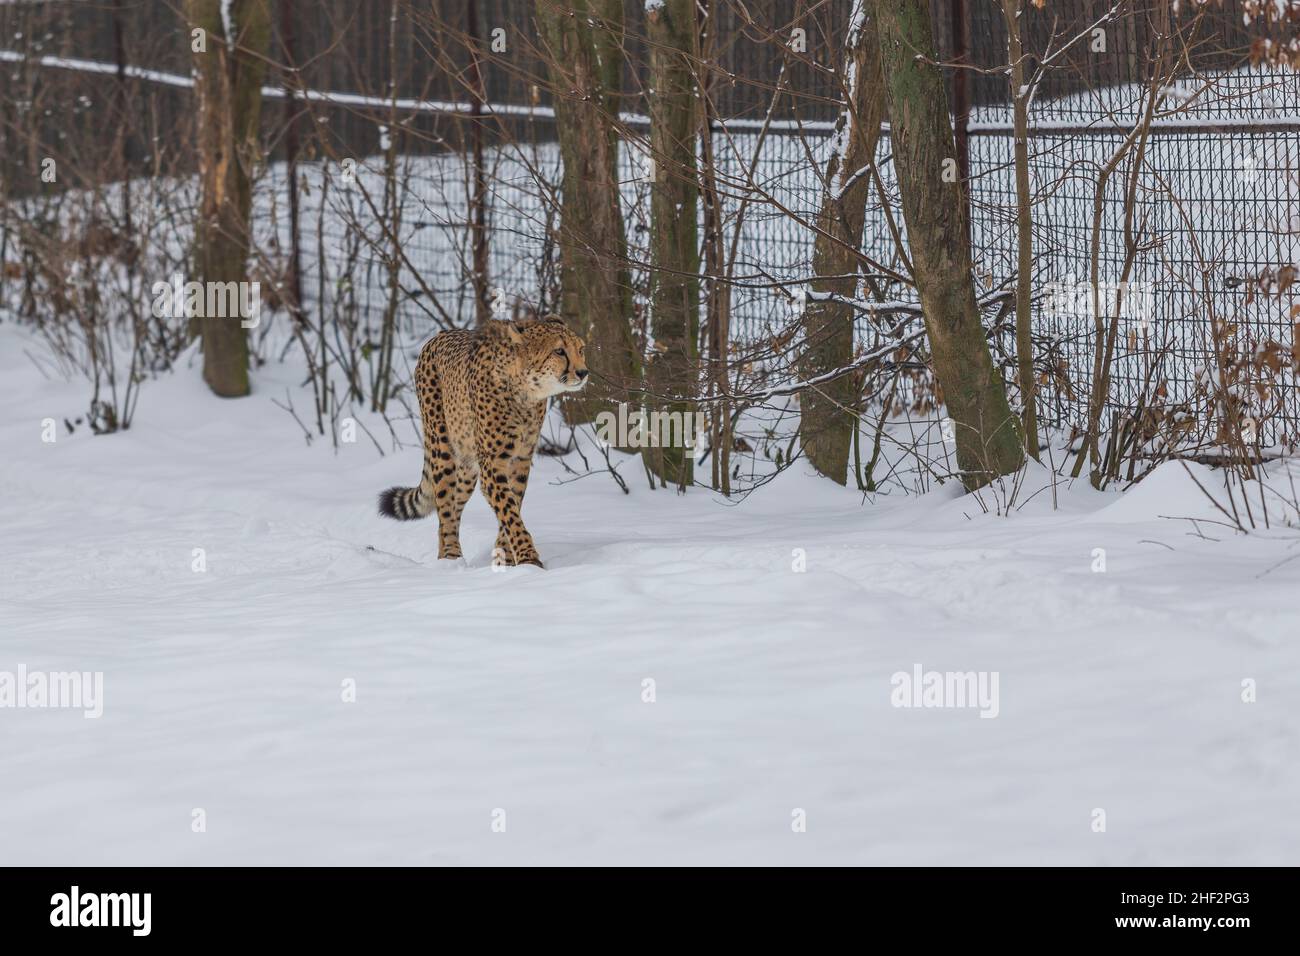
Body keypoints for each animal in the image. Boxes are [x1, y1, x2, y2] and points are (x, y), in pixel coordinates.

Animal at [377, 316, 588, 568]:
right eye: (559, 351)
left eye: (581, 349)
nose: (584, 372)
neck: (525, 393)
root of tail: (439, 335)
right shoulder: (493, 462)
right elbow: (508, 510)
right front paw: (528, 558)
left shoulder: (520, 460)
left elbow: (512, 506)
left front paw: (506, 557)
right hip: (442, 448)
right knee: (445, 505)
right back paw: (450, 556)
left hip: (467, 466)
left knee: (453, 503)